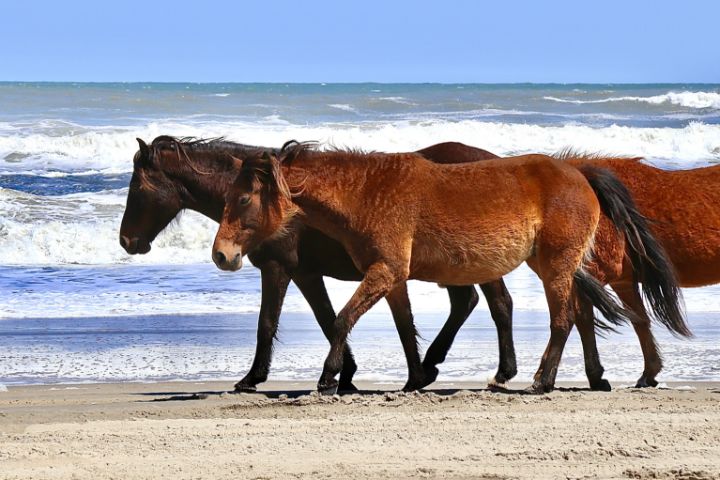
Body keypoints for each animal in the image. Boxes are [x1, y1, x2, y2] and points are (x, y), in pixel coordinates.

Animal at [119, 136, 511, 392]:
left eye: (136, 188)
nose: (127, 241)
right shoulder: (307, 274)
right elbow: (331, 319)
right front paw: (349, 374)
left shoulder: (278, 268)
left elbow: (267, 323)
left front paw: (252, 378)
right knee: (467, 303)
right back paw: (436, 364)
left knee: (497, 304)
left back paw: (501, 371)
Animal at [211, 143, 682, 394]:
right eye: (228, 196)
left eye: (243, 199)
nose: (222, 255)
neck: (367, 193)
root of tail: (580, 172)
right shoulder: (392, 276)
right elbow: (404, 327)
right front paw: (417, 376)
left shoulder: (383, 271)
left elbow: (343, 318)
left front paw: (329, 378)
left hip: (555, 267)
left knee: (563, 319)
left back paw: (541, 380)